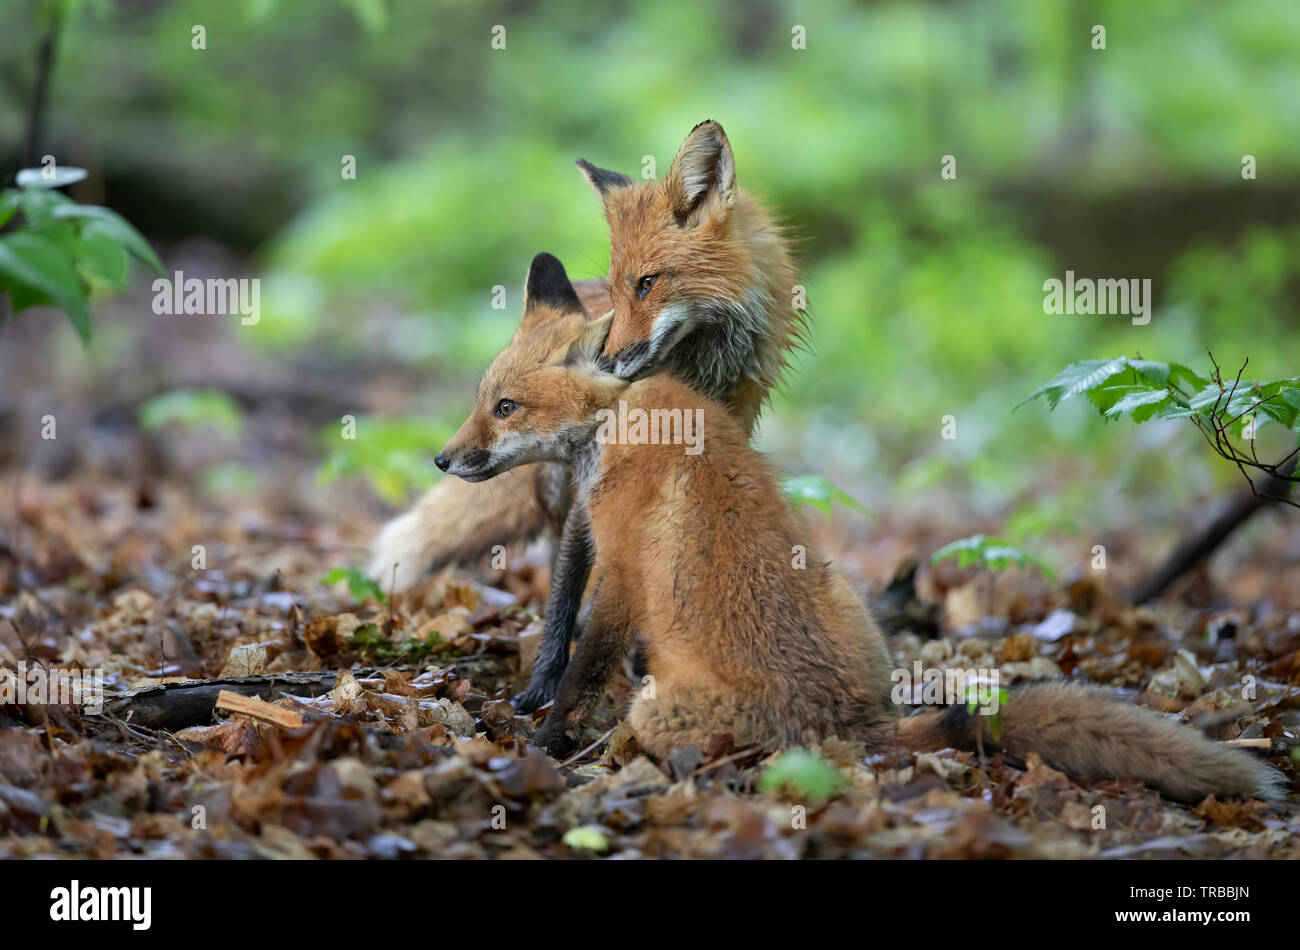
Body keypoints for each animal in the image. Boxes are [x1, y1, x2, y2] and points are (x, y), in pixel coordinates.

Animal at [374, 120, 804, 711]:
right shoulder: (590, 485)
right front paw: (546, 685)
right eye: (618, 288)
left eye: (647, 282)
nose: (606, 358)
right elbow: (566, 595)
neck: (699, 371)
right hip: (558, 492)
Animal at [436, 252, 1286, 805]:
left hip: (666, 710)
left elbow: (583, 668)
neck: (623, 416)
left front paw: (544, 745)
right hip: (845, 590)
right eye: (481, 399)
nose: (443, 458)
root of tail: (853, 728)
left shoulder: (622, 568)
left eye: (505, 407)